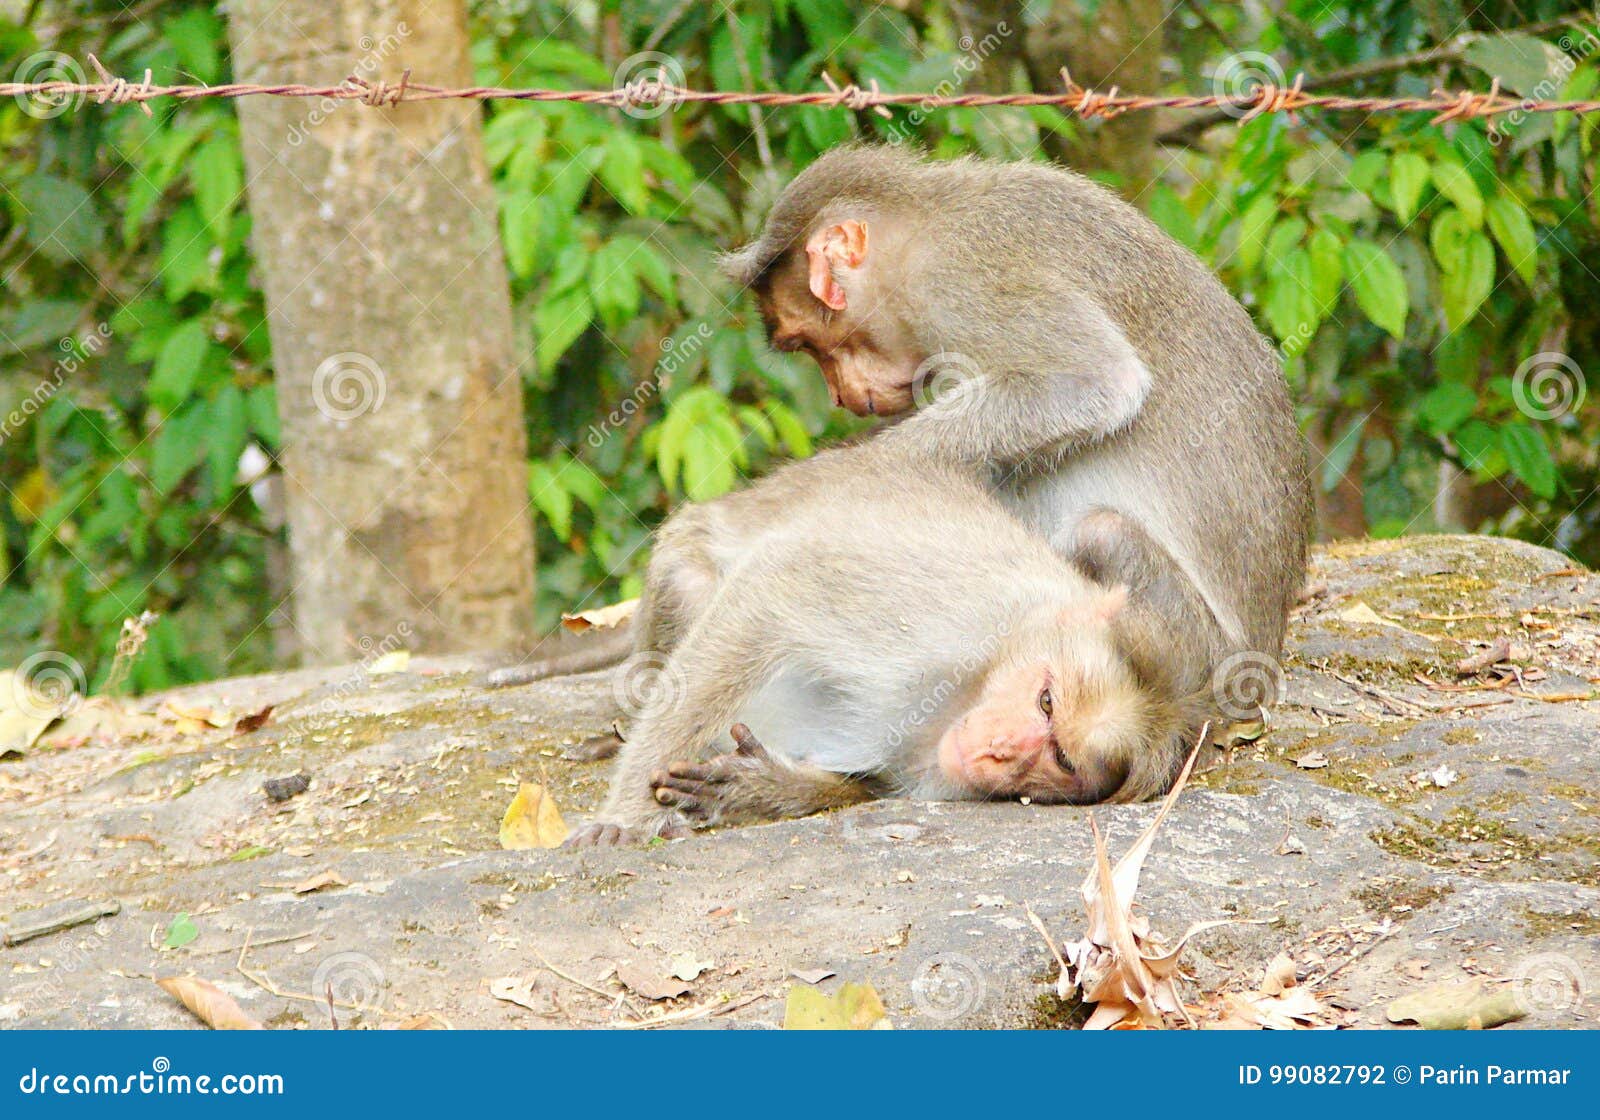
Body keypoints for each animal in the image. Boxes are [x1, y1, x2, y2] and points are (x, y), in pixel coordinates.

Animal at [565, 442, 1210, 846]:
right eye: (1046, 700)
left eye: (1063, 760)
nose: (998, 750)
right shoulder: (950, 622)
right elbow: (774, 594)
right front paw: (627, 814)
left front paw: (761, 788)